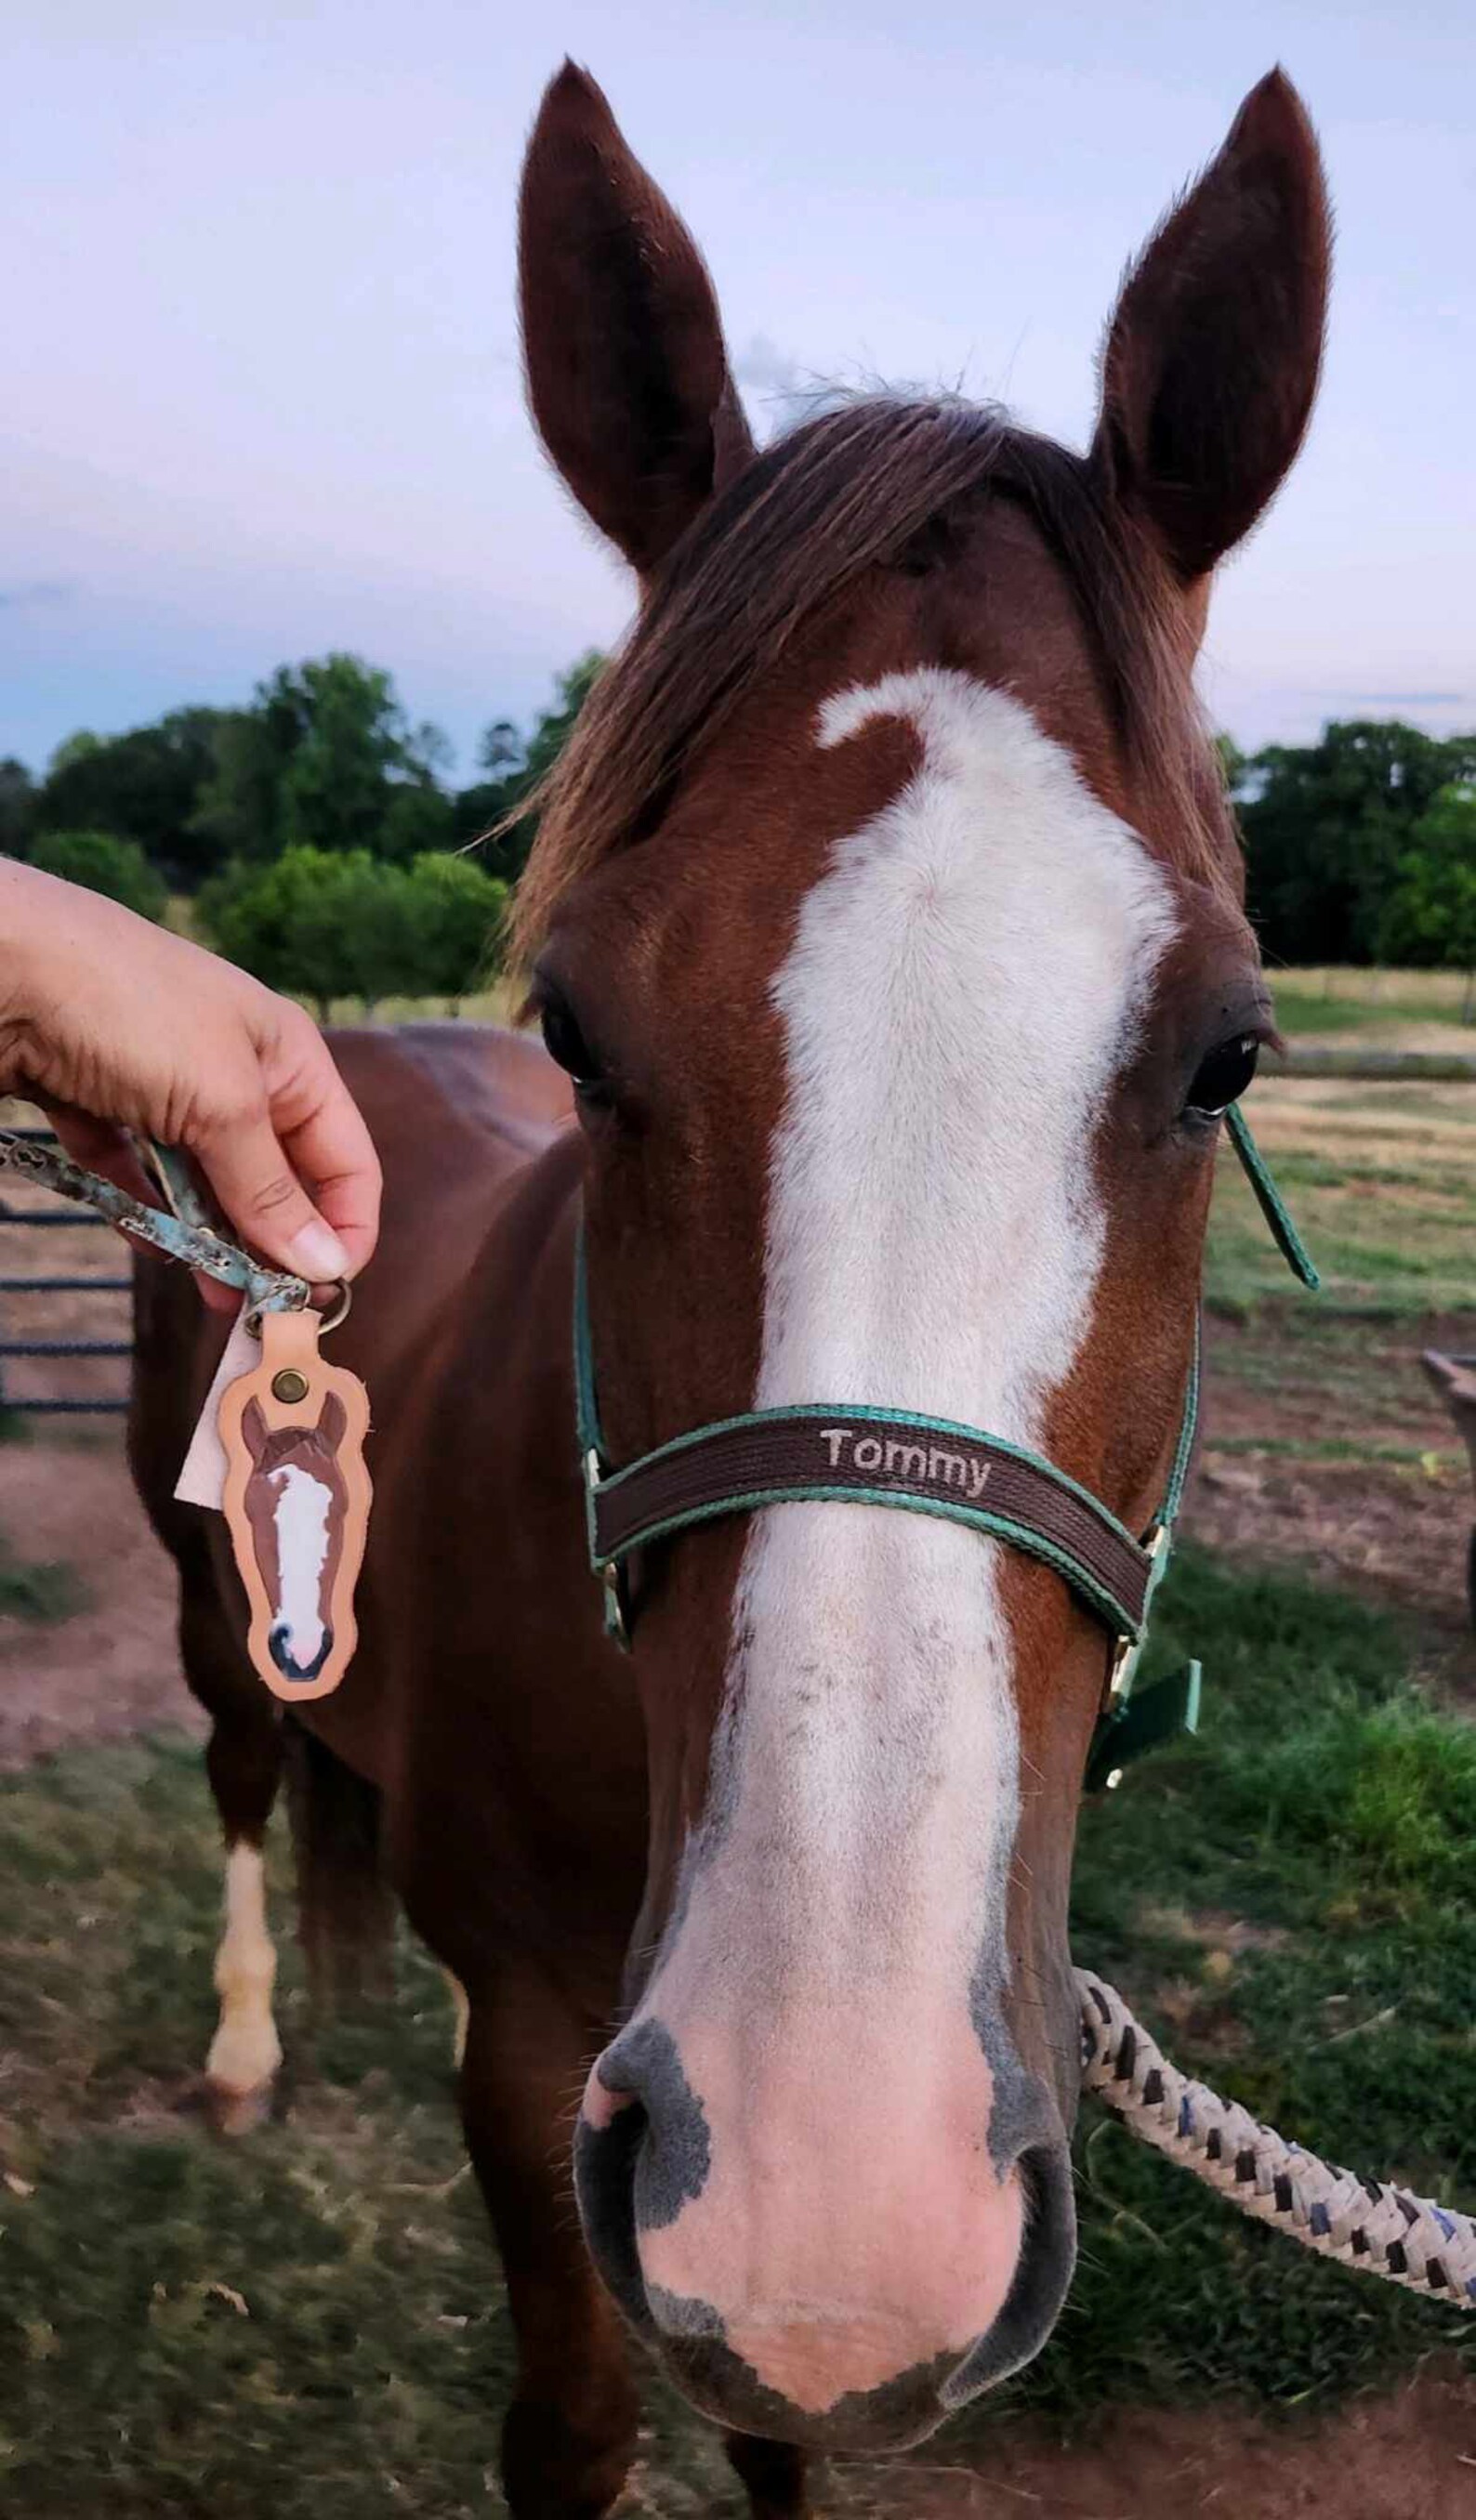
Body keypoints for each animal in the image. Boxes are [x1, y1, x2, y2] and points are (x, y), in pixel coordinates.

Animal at [129, 60, 1330, 2519]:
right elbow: (577, 2420)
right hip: (202, 1604)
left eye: (1225, 1055)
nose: (827, 2186)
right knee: (236, 1781)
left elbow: (780, 2444)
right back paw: (243, 2047)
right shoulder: (536, 2065)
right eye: (578, 1027)